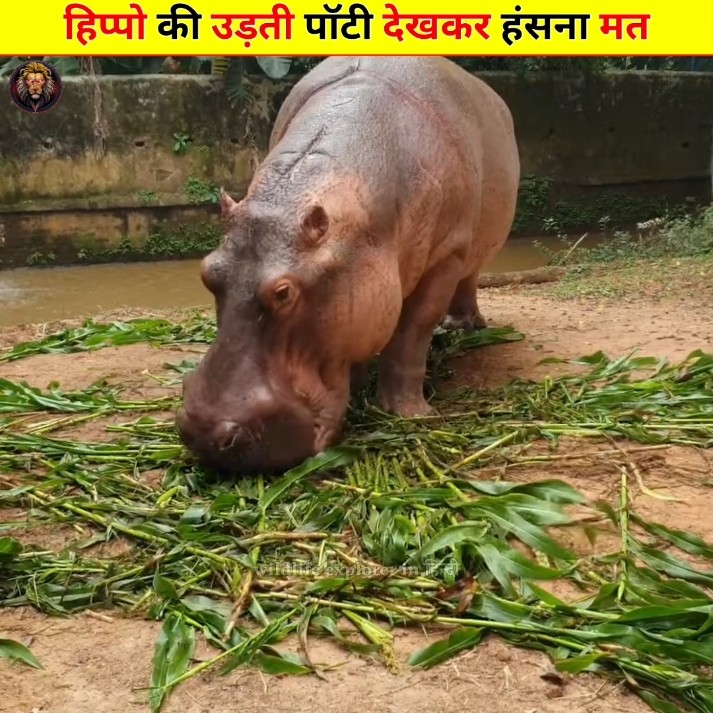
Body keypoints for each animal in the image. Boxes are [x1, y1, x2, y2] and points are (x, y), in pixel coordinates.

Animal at [176, 56, 520, 476]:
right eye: (207, 272)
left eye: (283, 292)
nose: (205, 434)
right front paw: (357, 390)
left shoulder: (446, 254)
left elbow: (412, 333)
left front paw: (408, 415)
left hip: (472, 249)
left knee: (469, 280)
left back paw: (464, 327)